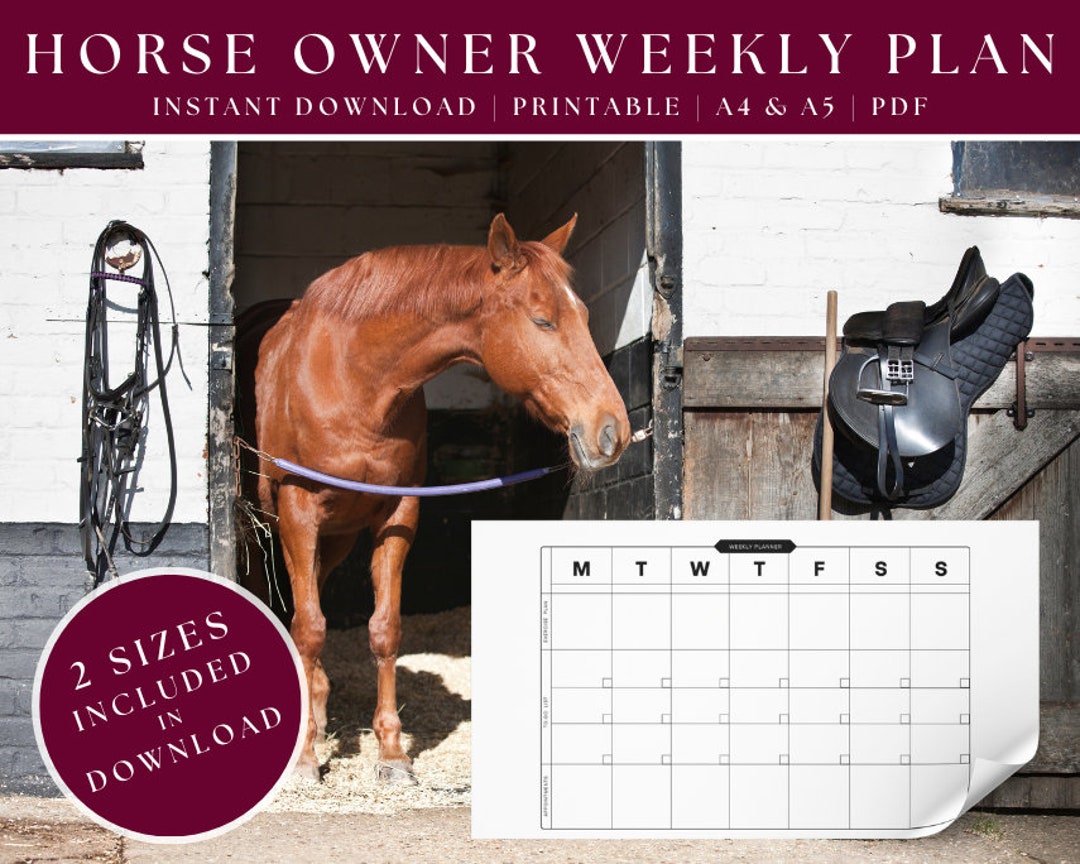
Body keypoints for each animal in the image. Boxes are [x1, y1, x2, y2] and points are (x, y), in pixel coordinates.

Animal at [254, 213, 631, 782]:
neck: (354, 379)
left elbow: (384, 630)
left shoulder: (397, 512)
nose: (613, 430)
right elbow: (312, 629)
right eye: (543, 321)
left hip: (336, 537)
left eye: (585, 316)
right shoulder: (298, 510)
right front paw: (303, 759)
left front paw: (391, 754)